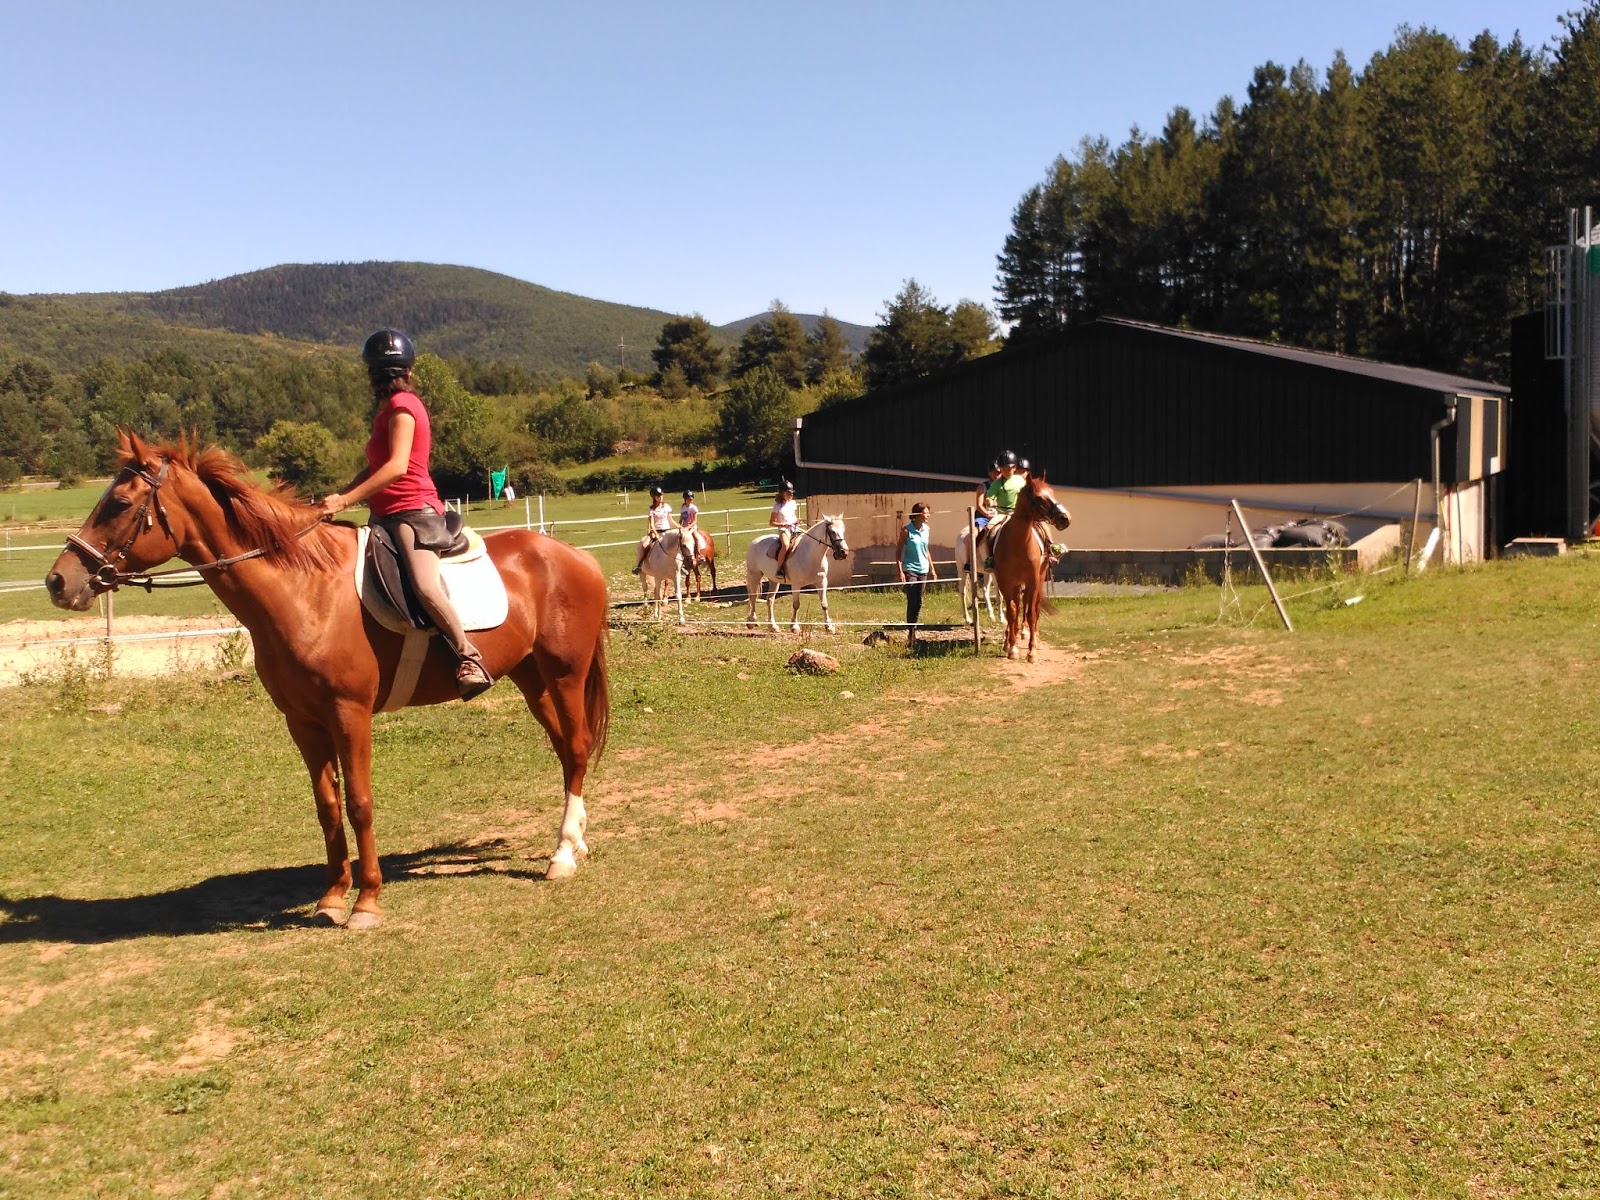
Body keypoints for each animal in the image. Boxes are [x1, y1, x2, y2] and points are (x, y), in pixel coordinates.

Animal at [44, 431, 610, 929]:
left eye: (118, 504)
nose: (58, 581)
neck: (301, 591)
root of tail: (575, 556)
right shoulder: (303, 720)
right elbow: (328, 807)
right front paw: (333, 898)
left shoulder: (348, 712)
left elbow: (359, 803)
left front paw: (367, 902)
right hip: (531, 679)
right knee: (566, 752)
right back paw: (576, 840)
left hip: (564, 674)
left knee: (577, 747)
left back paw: (562, 855)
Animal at [991, 472, 1071, 662]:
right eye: (1039, 497)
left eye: (1052, 492)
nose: (1065, 518)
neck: (1018, 543)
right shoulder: (1006, 583)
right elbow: (1011, 612)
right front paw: (1011, 647)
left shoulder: (1033, 582)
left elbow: (1031, 614)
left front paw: (1032, 651)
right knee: (1018, 608)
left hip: (1038, 582)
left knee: (1033, 609)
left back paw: (1034, 637)